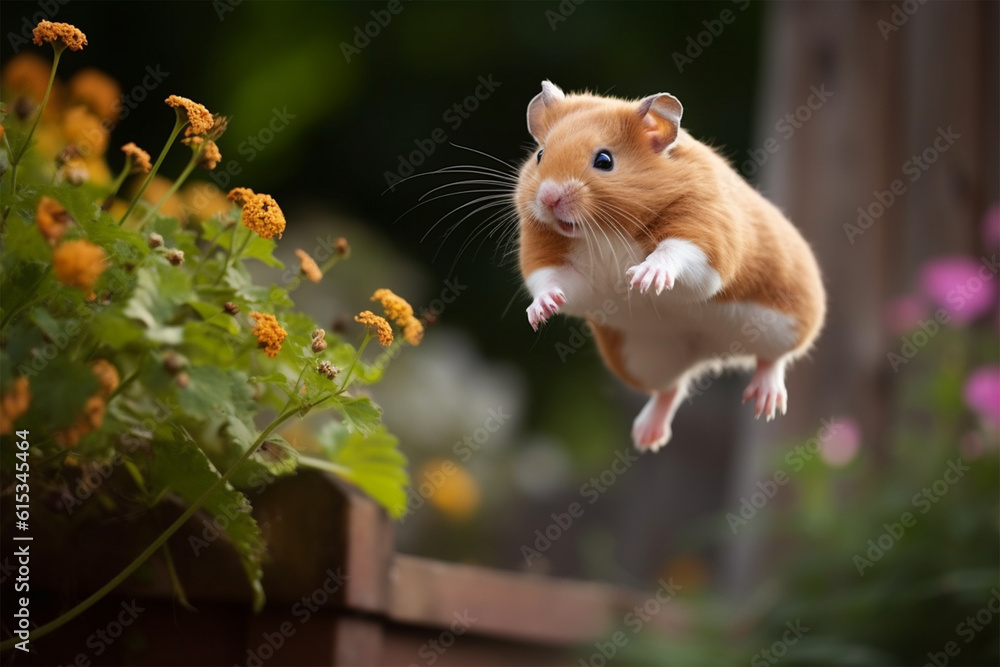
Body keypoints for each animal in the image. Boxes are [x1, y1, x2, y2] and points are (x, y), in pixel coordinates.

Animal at [516, 81, 826, 452]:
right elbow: (551, 281)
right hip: (645, 360)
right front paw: (540, 313)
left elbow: (675, 252)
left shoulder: (705, 233)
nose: (548, 198)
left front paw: (644, 278)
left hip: (785, 321)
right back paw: (647, 437)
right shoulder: (559, 265)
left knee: (773, 359)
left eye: (604, 160)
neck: (604, 231)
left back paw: (765, 403)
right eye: (540, 155)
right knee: (672, 389)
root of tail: (712, 354)